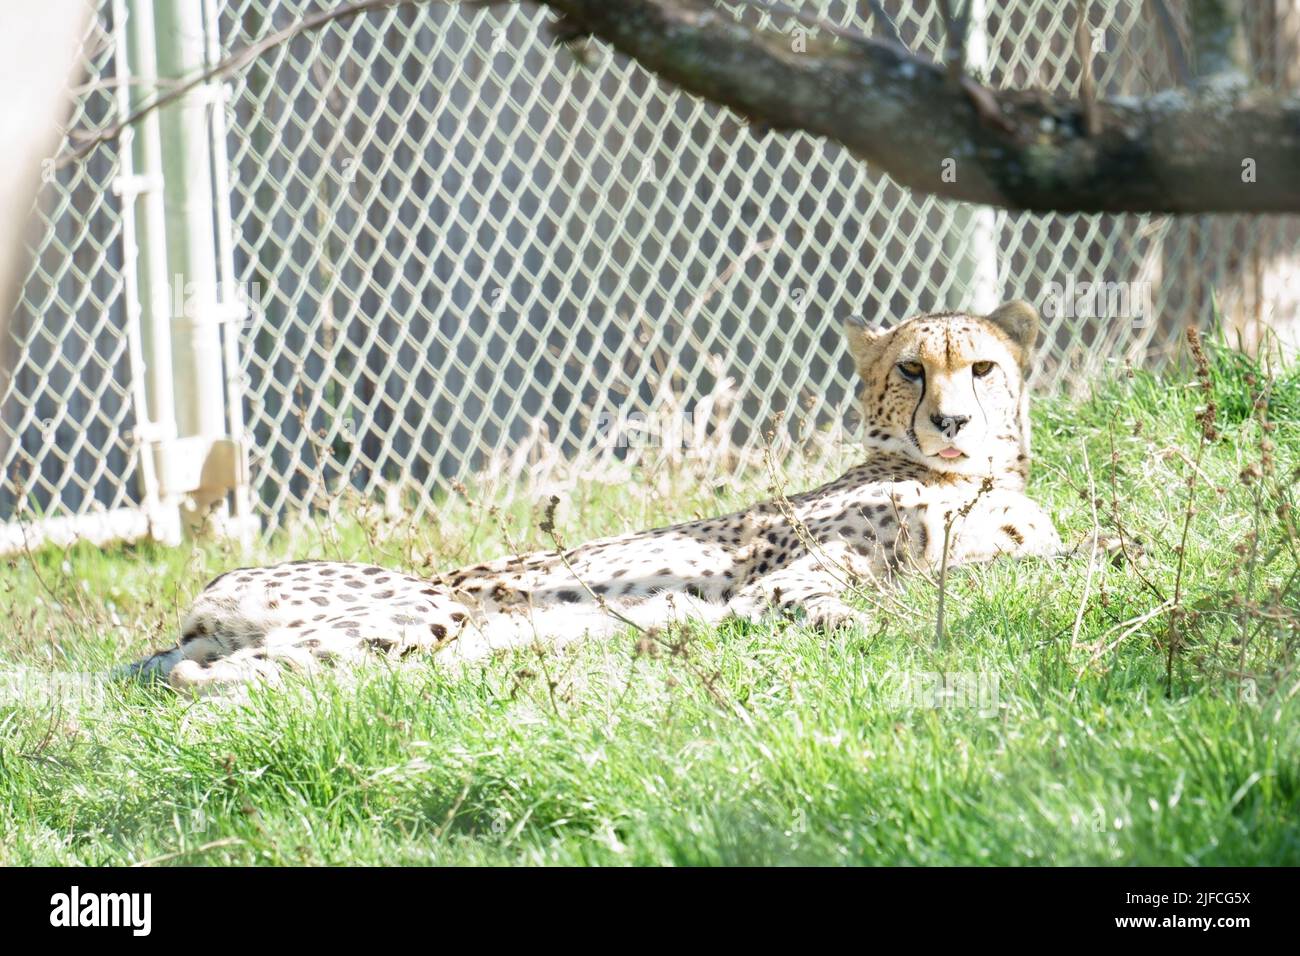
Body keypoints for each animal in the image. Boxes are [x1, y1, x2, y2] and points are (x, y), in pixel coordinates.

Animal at [125, 300, 1071, 694]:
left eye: (981, 367)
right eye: (911, 369)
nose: (951, 421)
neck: (971, 480)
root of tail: (210, 591)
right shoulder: (786, 582)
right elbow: (838, 605)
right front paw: (879, 635)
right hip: (417, 611)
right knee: (215, 684)